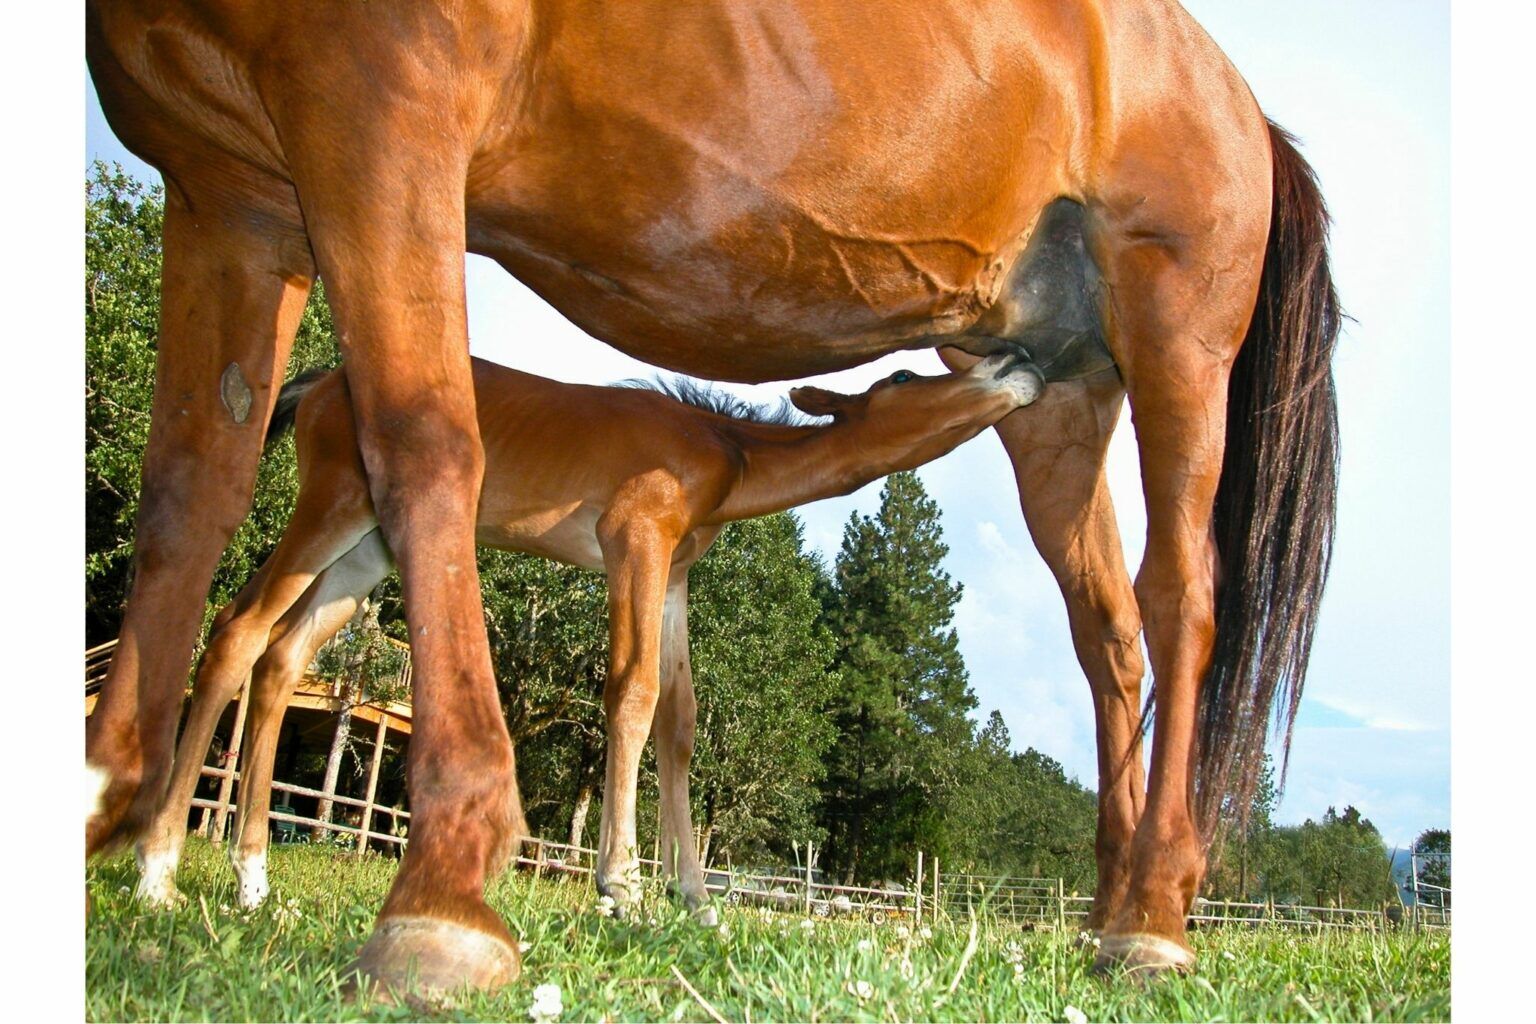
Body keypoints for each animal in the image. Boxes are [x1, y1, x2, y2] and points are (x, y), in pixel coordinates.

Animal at [132, 353, 1045, 919]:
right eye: (905, 372)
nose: (1023, 365)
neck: (729, 451)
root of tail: (321, 382)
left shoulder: (674, 574)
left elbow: (681, 725)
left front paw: (698, 901)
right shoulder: (631, 536)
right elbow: (631, 693)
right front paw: (621, 885)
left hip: (367, 549)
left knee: (283, 657)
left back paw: (251, 881)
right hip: (331, 501)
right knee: (237, 629)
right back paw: (157, 871)